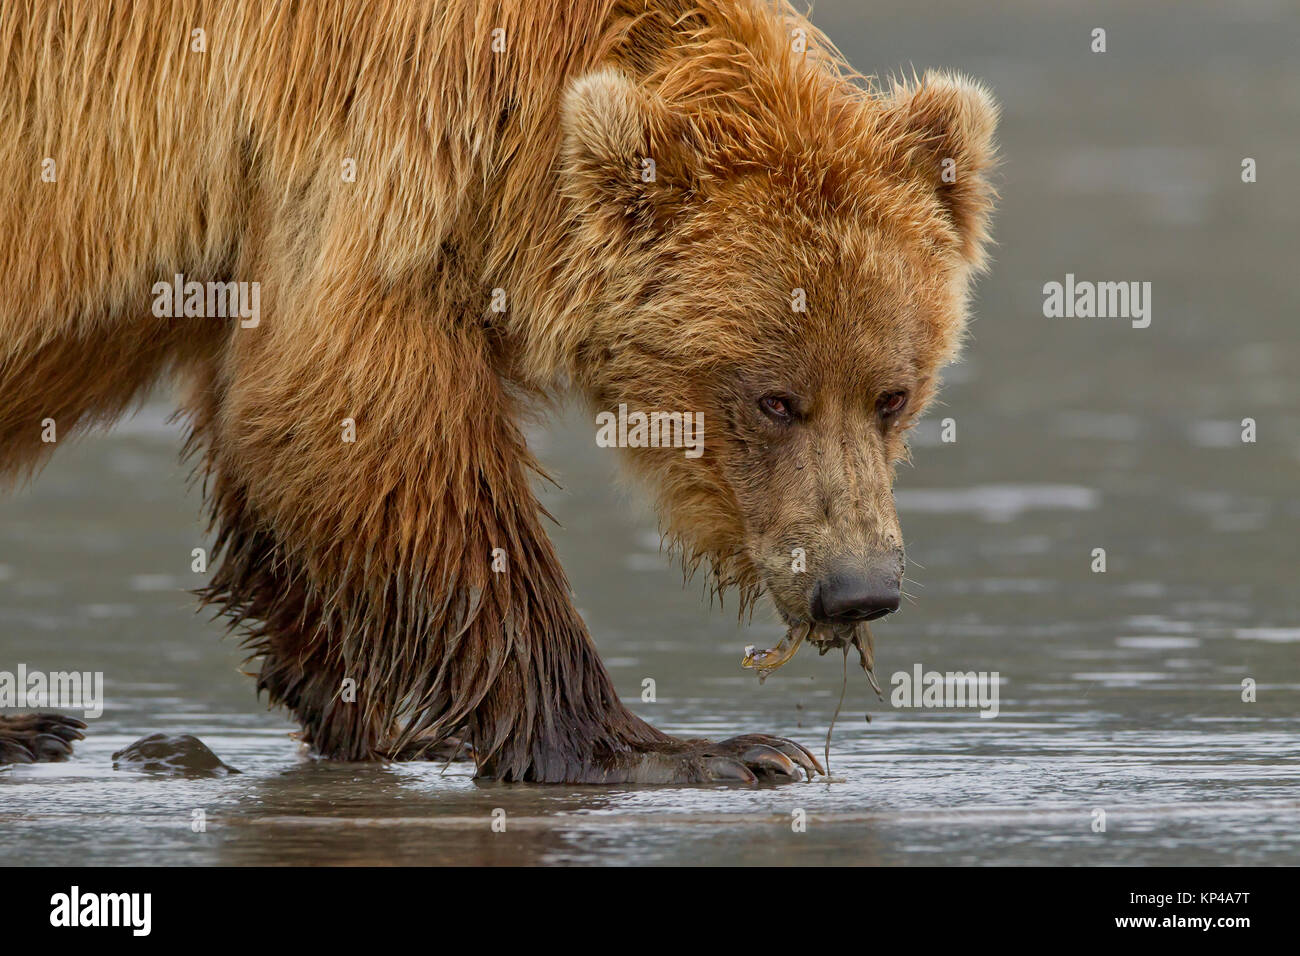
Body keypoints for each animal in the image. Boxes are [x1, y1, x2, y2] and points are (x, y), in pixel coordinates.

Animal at [0, 0, 997, 782]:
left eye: (892, 395)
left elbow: (270, 439)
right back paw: (33, 723)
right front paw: (695, 750)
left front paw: (377, 722)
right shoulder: (372, 148)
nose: (856, 589)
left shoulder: (258, 236)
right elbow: (367, 422)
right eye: (774, 399)